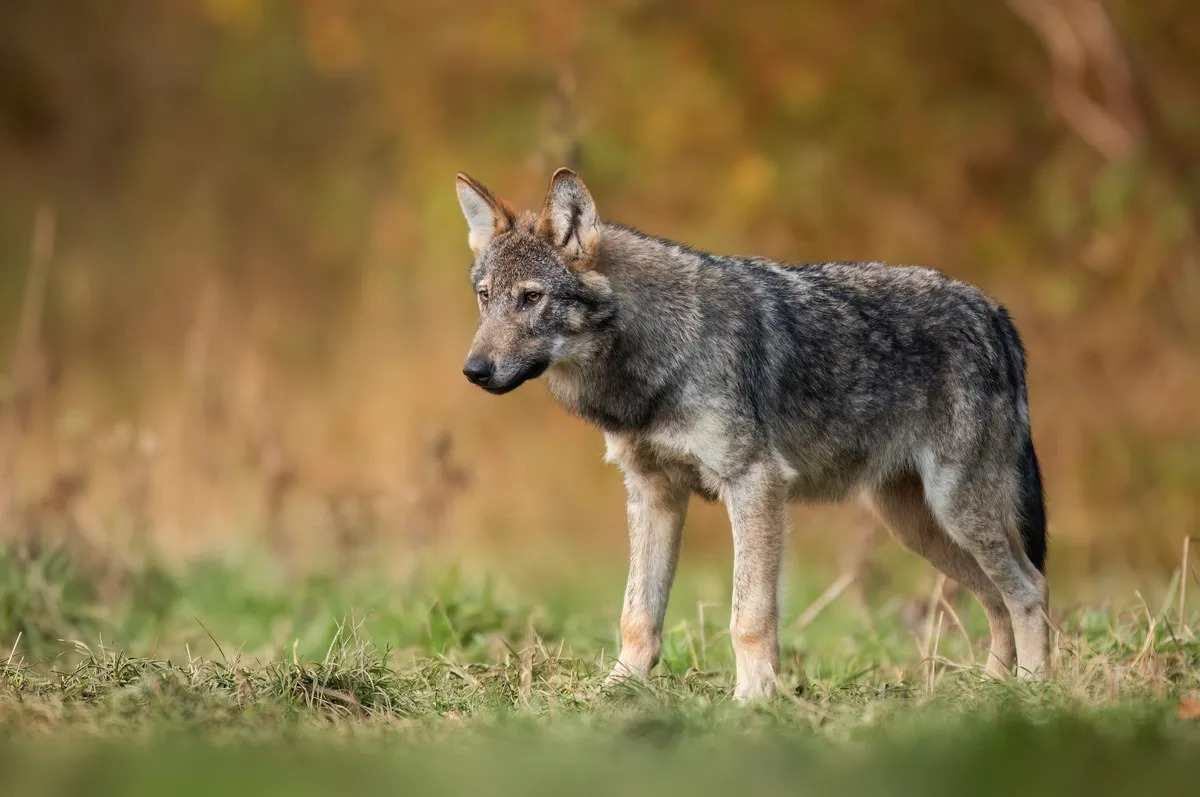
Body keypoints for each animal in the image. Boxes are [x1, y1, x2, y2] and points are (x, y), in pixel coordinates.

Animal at [455, 168, 1049, 700]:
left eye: (531, 298)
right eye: (485, 297)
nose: (474, 370)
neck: (658, 356)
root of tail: (994, 312)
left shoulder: (755, 485)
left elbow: (750, 616)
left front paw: (753, 700)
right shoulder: (652, 494)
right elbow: (637, 614)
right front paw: (614, 691)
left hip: (956, 512)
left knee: (1029, 590)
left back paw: (1032, 690)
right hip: (918, 527)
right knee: (998, 599)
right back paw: (991, 690)